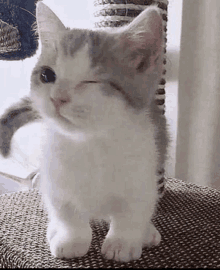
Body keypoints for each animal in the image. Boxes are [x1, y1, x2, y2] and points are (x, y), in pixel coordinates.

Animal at [1, 1, 168, 262]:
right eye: (47, 75)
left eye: (91, 82)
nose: (58, 98)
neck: (90, 143)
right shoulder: (54, 175)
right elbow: (67, 213)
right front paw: (71, 239)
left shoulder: (143, 171)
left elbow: (132, 211)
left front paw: (122, 241)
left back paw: (146, 232)